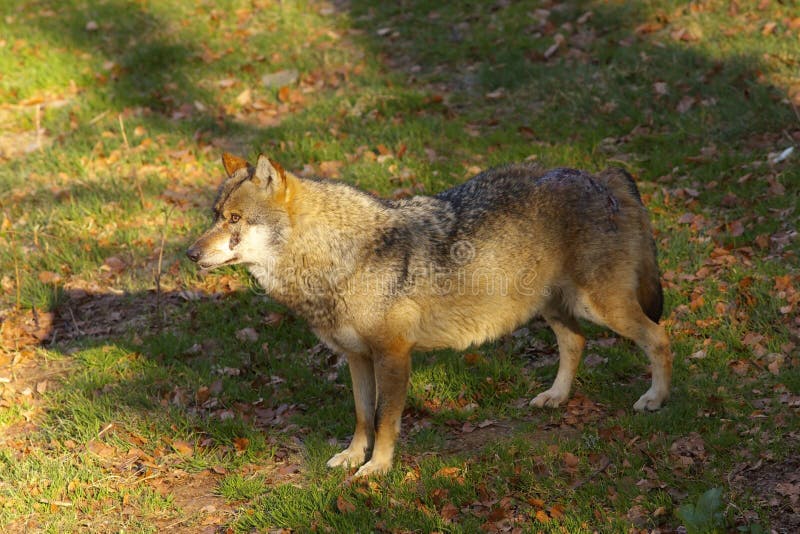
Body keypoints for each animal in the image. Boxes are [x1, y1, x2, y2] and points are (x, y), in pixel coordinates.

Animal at [187, 152, 672, 478]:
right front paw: (352, 457)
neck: (340, 259)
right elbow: (362, 415)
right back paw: (556, 397)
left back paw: (655, 400)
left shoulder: (394, 356)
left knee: (660, 339)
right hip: (553, 308)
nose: (190, 253)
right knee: (577, 342)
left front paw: (377, 469)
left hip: (601, 308)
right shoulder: (357, 358)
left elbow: (385, 420)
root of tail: (603, 175)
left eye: (235, 219)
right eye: (215, 216)